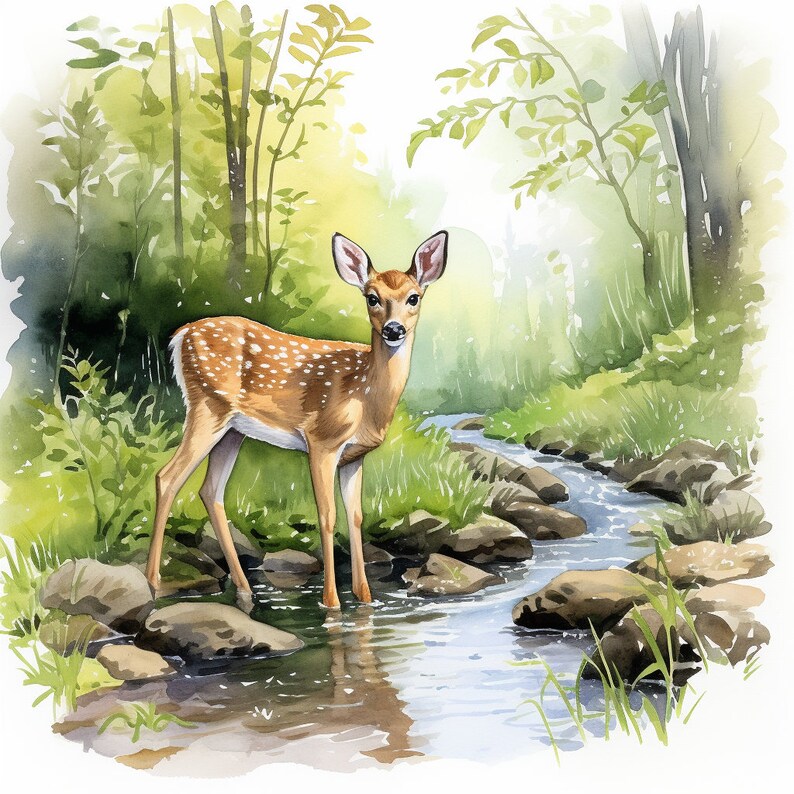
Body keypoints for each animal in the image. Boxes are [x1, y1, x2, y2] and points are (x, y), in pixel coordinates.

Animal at [145, 230, 448, 608]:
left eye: (413, 297)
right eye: (372, 298)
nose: (394, 330)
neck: (365, 396)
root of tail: (180, 335)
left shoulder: (355, 456)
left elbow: (356, 517)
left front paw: (365, 599)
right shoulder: (322, 440)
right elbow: (327, 516)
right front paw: (331, 603)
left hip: (232, 429)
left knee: (210, 490)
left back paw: (245, 589)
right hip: (207, 405)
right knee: (167, 477)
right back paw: (154, 582)